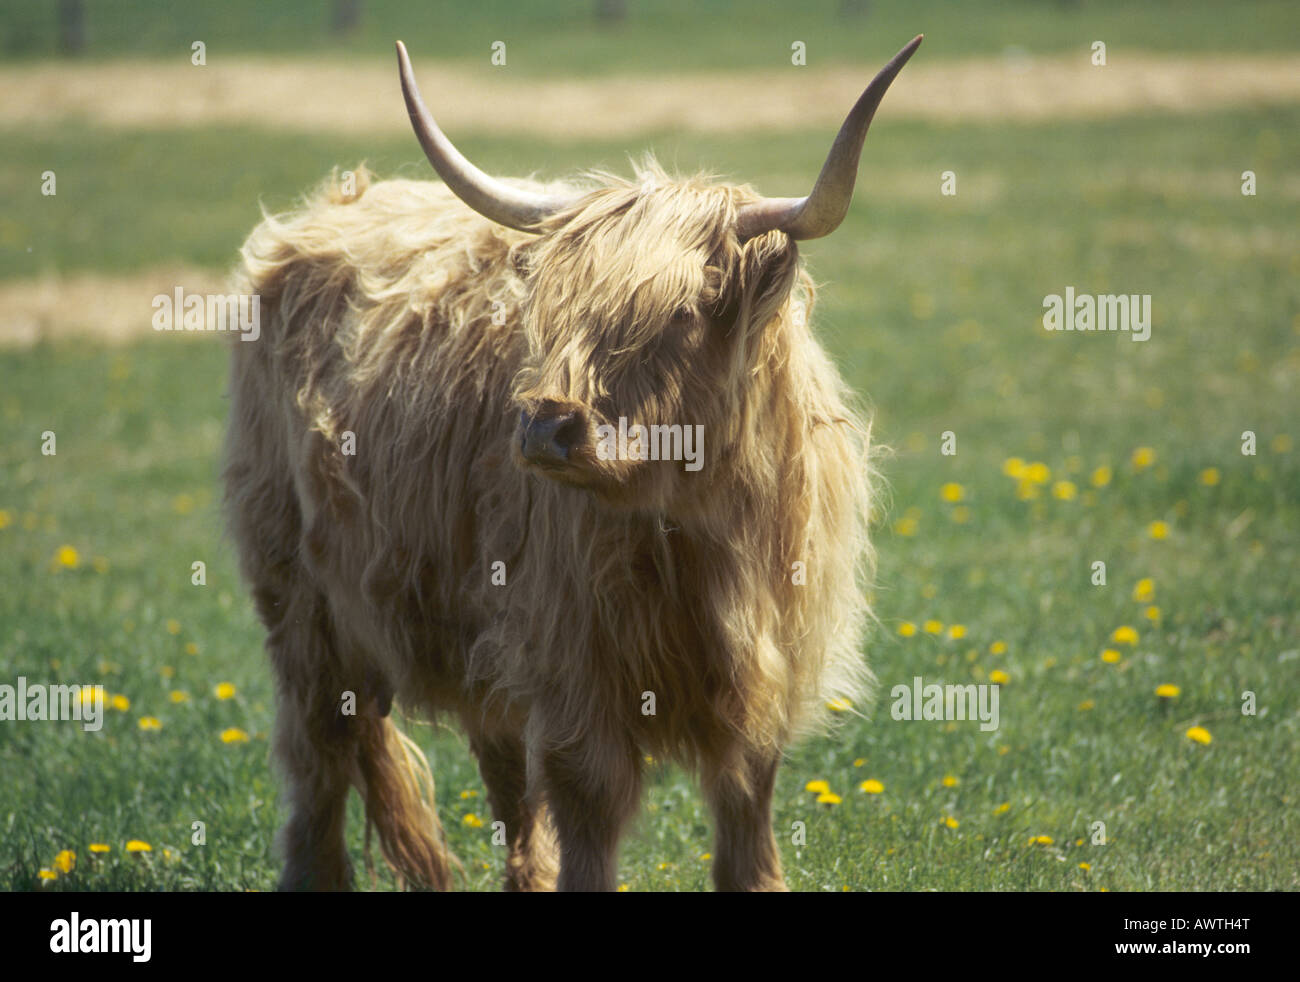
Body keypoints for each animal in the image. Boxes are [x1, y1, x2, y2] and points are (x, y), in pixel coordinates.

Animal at [222, 35, 922, 892]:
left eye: (682, 311)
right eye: (557, 308)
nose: (548, 427)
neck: (694, 535)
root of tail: (325, 210)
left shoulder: (766, 660)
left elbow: (746, 805)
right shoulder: (572, 656)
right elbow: (588, 798)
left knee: (497, 770)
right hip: (297, 594)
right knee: (318, 752)